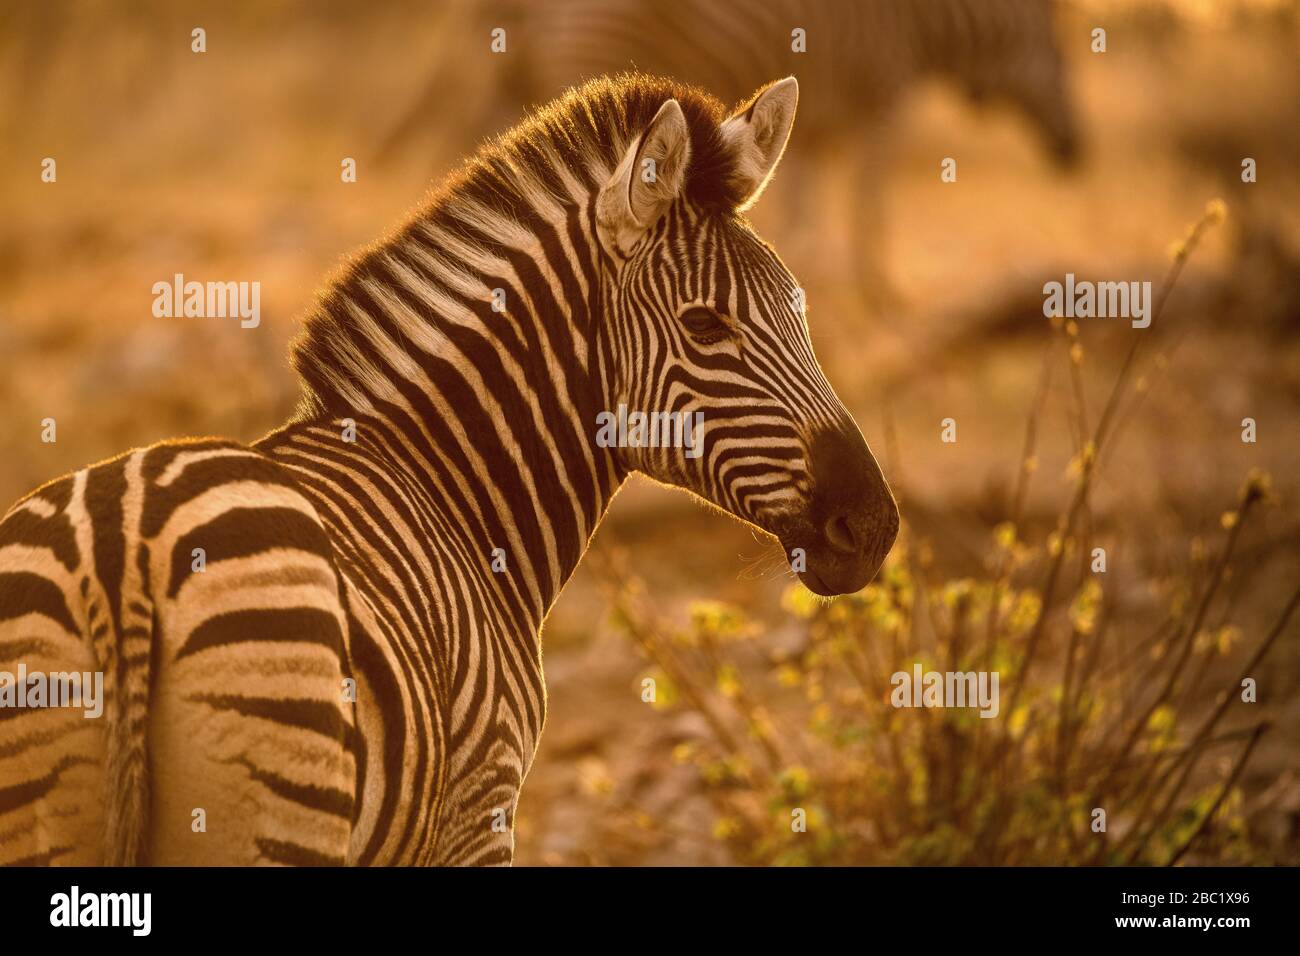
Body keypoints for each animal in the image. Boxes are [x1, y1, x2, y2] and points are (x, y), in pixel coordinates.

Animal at [0, 73, 898, 866]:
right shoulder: (482, 806)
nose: (873, 526)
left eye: (798, 310)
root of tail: (119, 552)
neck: (447, 483)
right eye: (706, 325)